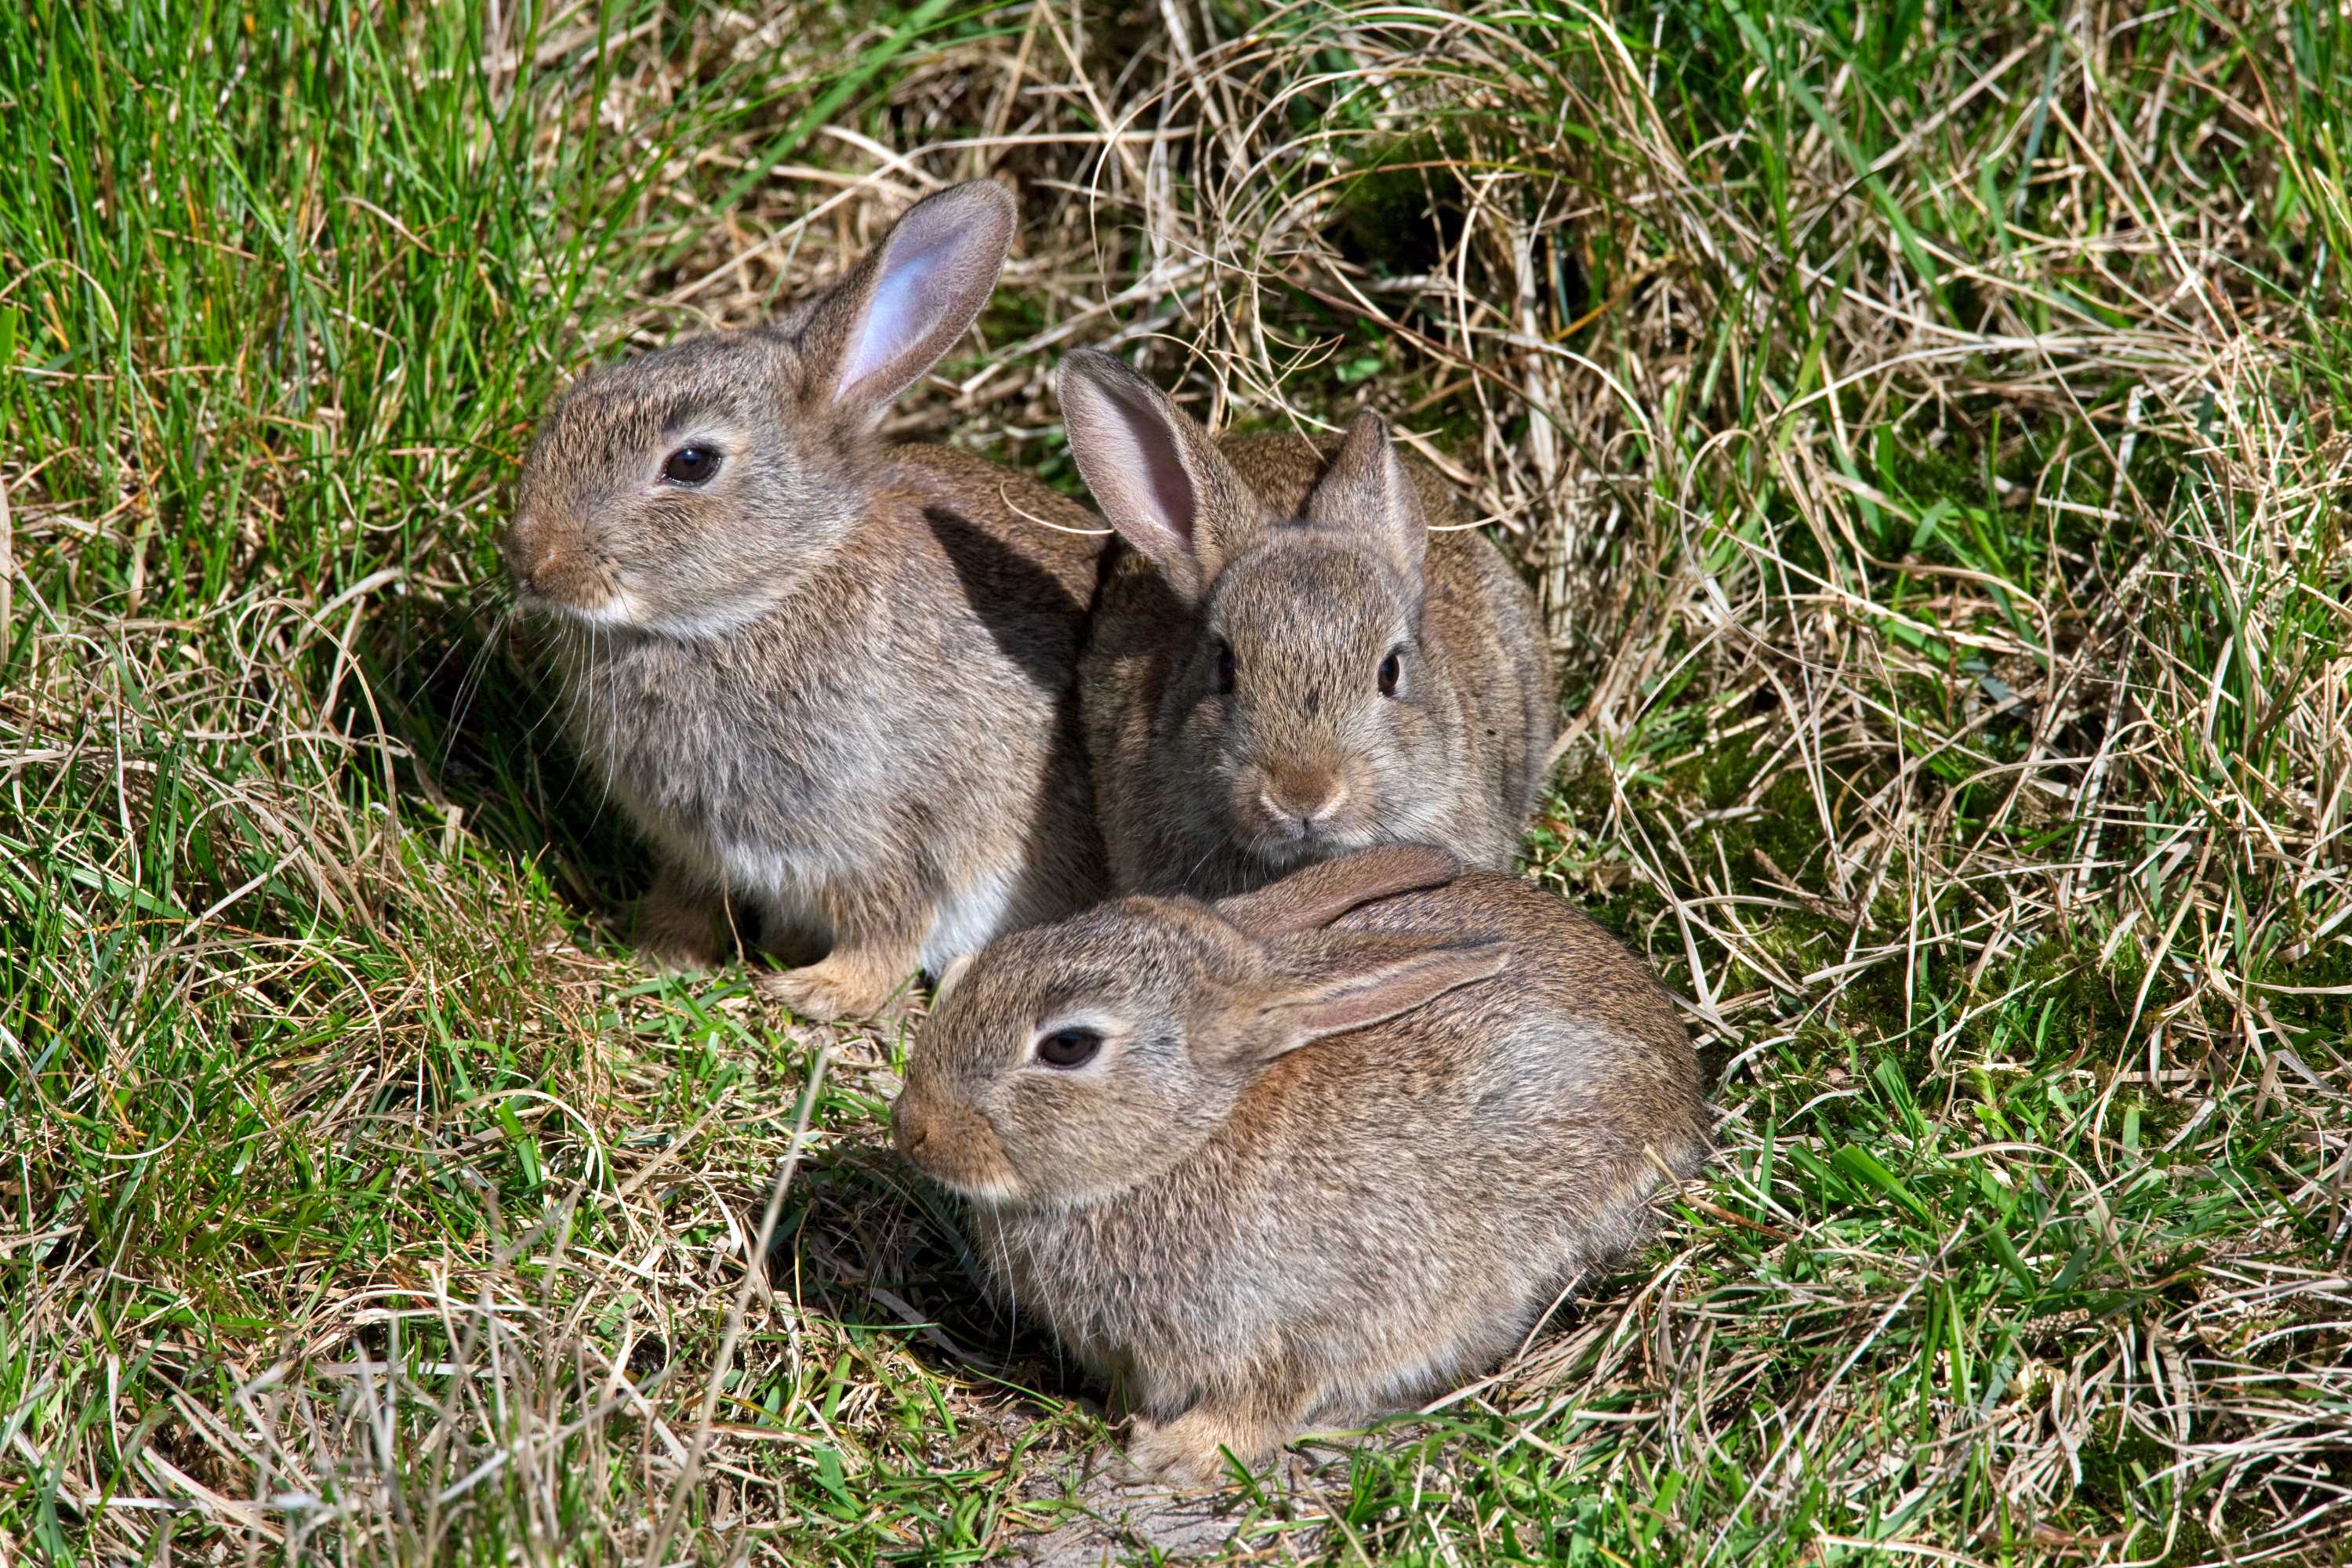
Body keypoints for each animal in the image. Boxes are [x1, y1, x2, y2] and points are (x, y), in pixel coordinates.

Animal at [501, 180, 1107, 1021]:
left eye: (692, 462)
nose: (530, 561)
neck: (770, 593)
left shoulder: (891, 831)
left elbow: (891, 927)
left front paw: (818, 992)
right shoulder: (697, 850)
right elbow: (688, 897)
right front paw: (660, 950)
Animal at [892, 842, 1710, 1485]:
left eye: (1068, 1046)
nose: (913, 1130)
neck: (1186, 1140)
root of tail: (1679, 1076)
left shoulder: (1301, 1323)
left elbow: (1266, 1401)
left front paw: (1174, 1456)